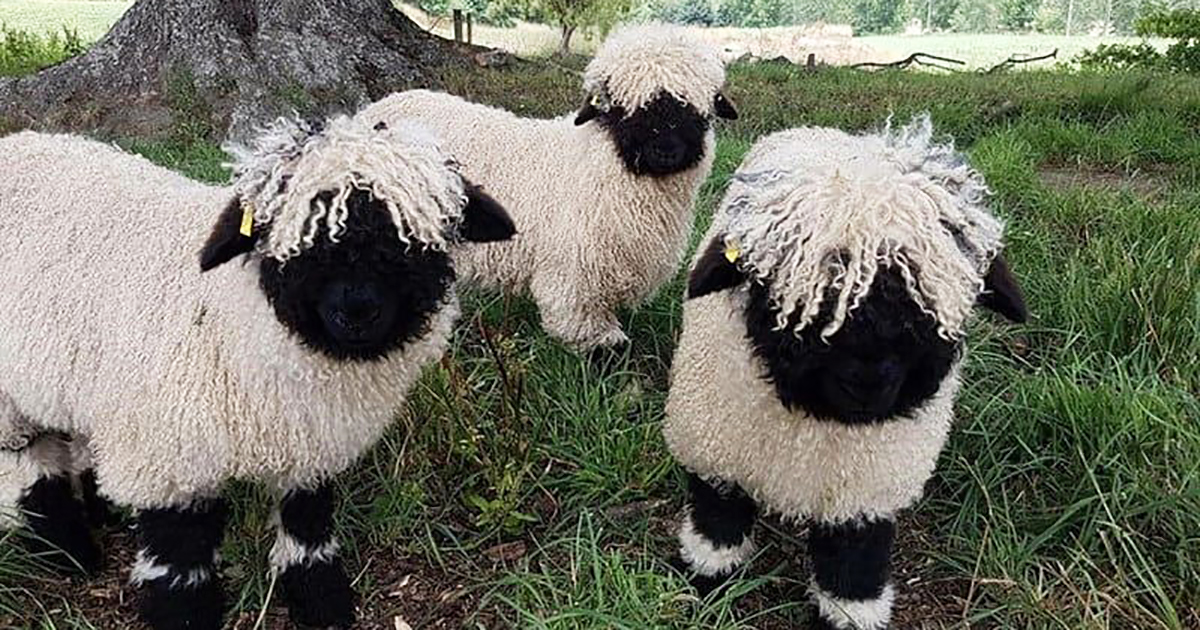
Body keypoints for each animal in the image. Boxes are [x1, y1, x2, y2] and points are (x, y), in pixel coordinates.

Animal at [0, 116, 515, 630]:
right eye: (299, 240)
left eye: (412, 241)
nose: (358, 312)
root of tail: (18, 141)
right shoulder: (168, 454)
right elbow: (179, 555)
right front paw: (186, 616)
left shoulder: (307, 442)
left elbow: (308, 526)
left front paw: (321, 601)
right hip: (10, 400)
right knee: (33, 468)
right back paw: (68, 552)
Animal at [662, 116, 1027, 630]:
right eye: (798, 297)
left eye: (923, 304)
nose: (868, 383)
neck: (816, 427)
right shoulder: (715, 449)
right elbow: (718, 518)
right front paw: (707, 579)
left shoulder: (867, 486)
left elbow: (854, 558)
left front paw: (848, 611)